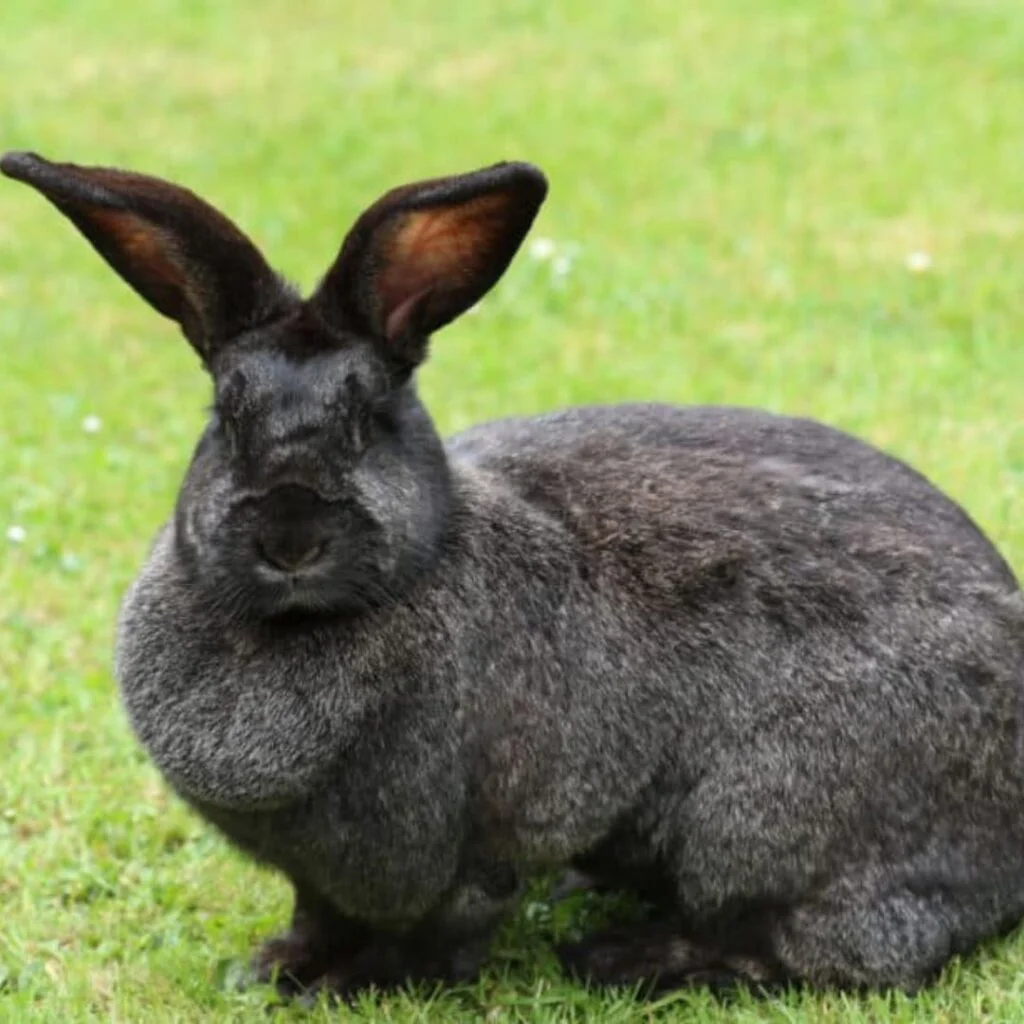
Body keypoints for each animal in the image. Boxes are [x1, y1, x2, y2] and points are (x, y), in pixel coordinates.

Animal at [5, 148, 1024, 1002]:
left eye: (367, 419)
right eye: (226, 415)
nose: (290, 537)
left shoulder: (462, 847)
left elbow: (436, 930)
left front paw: (356, 984)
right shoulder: (317, 873)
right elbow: (315, 912)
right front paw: (278, 968)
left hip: (759, 827)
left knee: (828, 950)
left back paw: (630, 958)